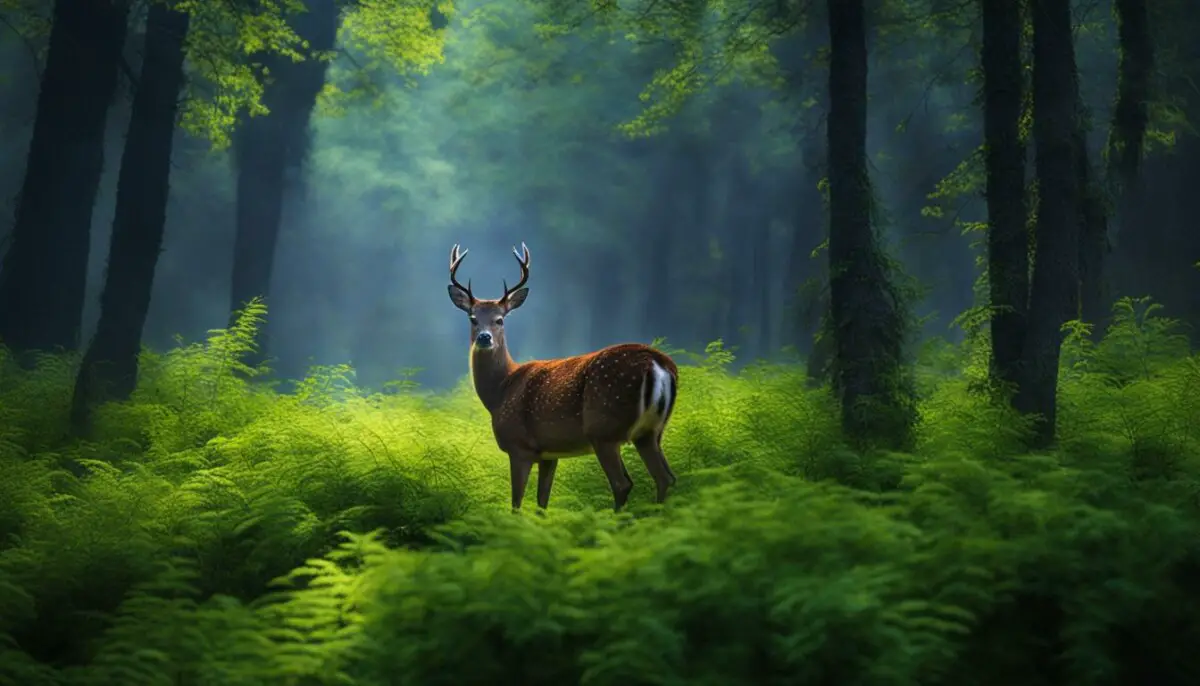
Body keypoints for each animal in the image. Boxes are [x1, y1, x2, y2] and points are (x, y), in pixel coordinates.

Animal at [446, 242, 679, 512]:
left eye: (500, 319)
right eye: (473, 318)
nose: (485, 338)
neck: (500, 391)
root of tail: (657, 363)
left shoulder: (519, 446)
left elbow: (516, 503)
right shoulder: (550, 453)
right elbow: (542, 503)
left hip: (605, 428)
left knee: (623, 484)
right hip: (651, 432)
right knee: (665, 477)